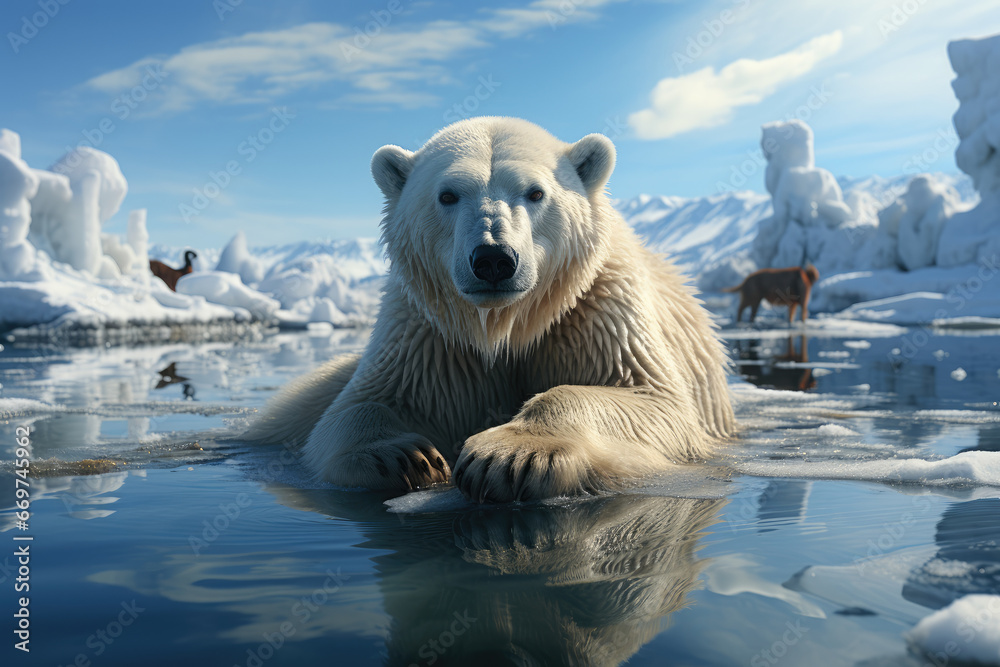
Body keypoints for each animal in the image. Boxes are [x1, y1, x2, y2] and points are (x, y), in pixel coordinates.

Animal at [247, 117, 735, 502]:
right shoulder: (429, 337)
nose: (494, 259)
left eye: (535, 192)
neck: (507, 324)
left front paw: (509, 456)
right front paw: (406, 455)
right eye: (447, 195)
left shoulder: (596, 311)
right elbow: (354, 408)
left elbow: (655, 400)